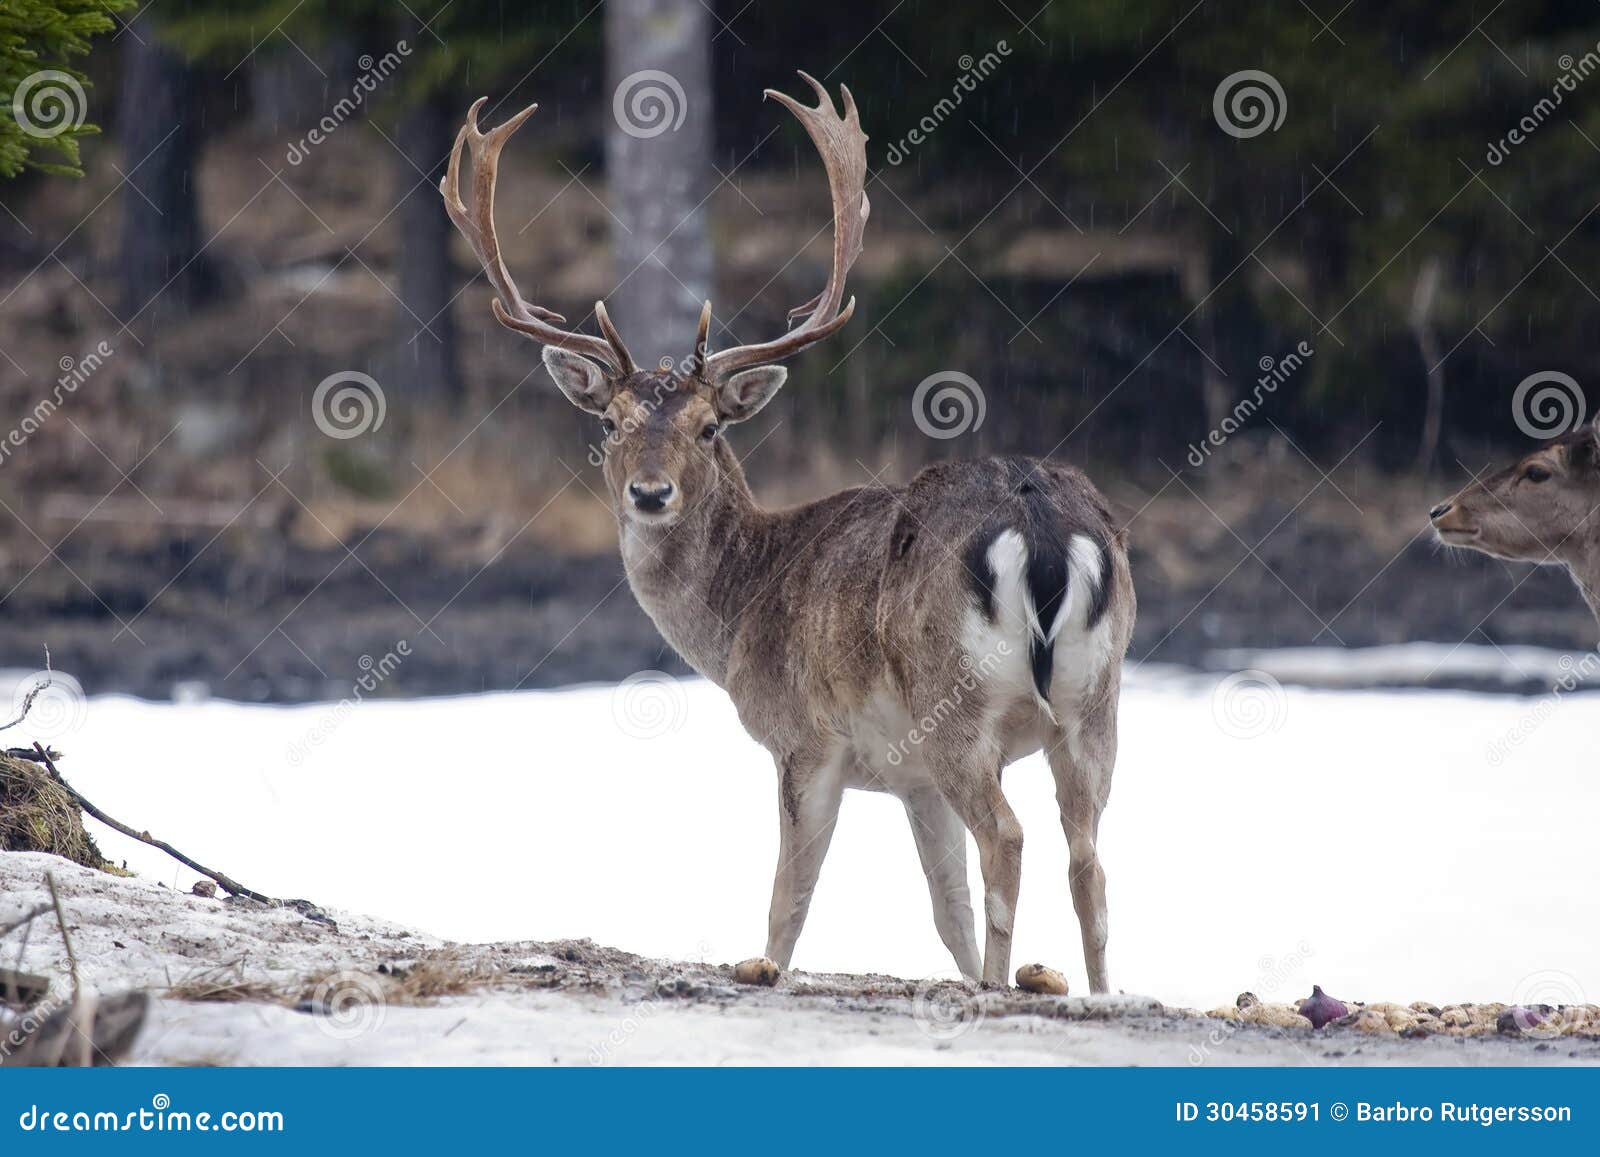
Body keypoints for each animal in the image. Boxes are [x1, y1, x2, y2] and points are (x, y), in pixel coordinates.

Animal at [440, 75, 1136, 992]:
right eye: (614, 421)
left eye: (708, 428)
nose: (650, 492)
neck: (741, 610)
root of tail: (1044, 527)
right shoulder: (909, 776)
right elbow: (944, 910)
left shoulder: (804, 737)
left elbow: (788, 903)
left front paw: (764, 965)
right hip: (1097, 701)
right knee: (1089, 858)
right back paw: (1095, 989)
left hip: (956, 701)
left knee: (1010, 836)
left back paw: (1002, 982)